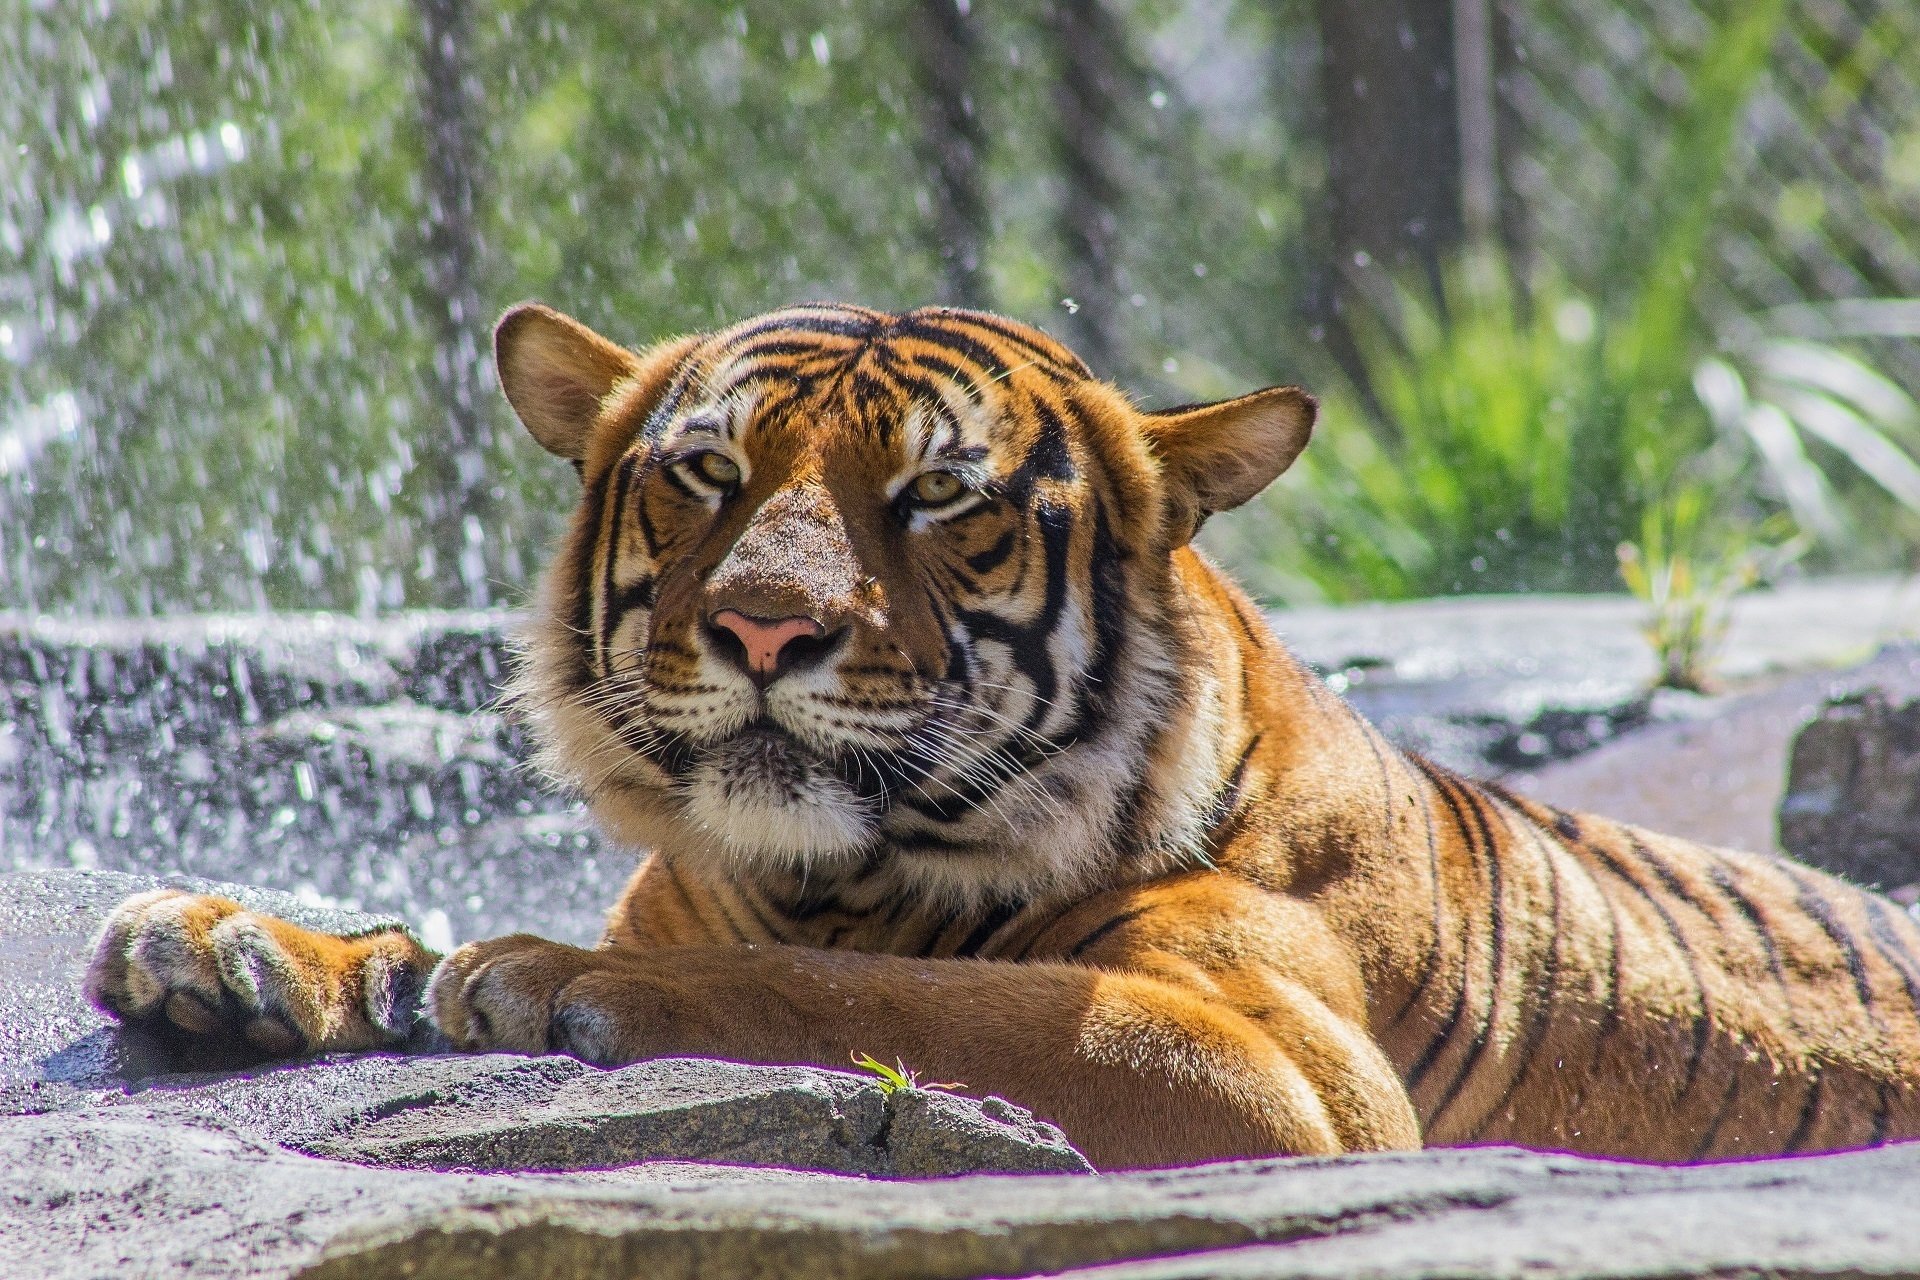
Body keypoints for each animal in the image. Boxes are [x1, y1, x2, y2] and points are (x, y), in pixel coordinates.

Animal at [84, 300, 1920, 1171]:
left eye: (935, 498)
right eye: (710, 472)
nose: (765, 627)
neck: (817, 876)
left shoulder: (1286, 1067)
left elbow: (898, 1000)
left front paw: (548, 979)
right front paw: (231, 941)